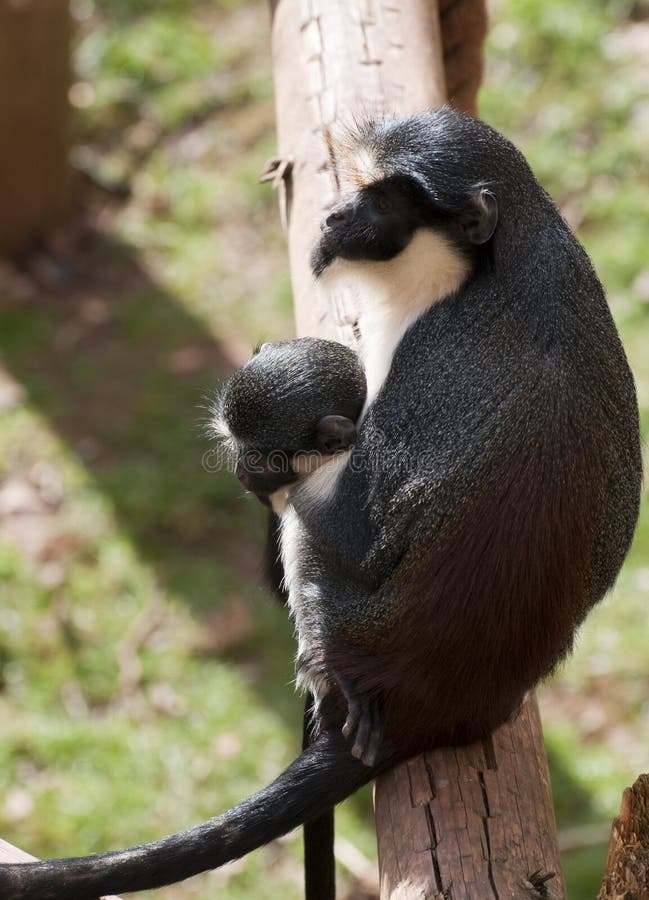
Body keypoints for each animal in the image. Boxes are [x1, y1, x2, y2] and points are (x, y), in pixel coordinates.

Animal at [0, 108, 642, 900]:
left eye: (384, 200)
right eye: (358, 186)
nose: (336, 213)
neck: (489, 264)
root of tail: (441, 708)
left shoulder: (428, 363)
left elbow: (354, 530)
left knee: (308, 535)